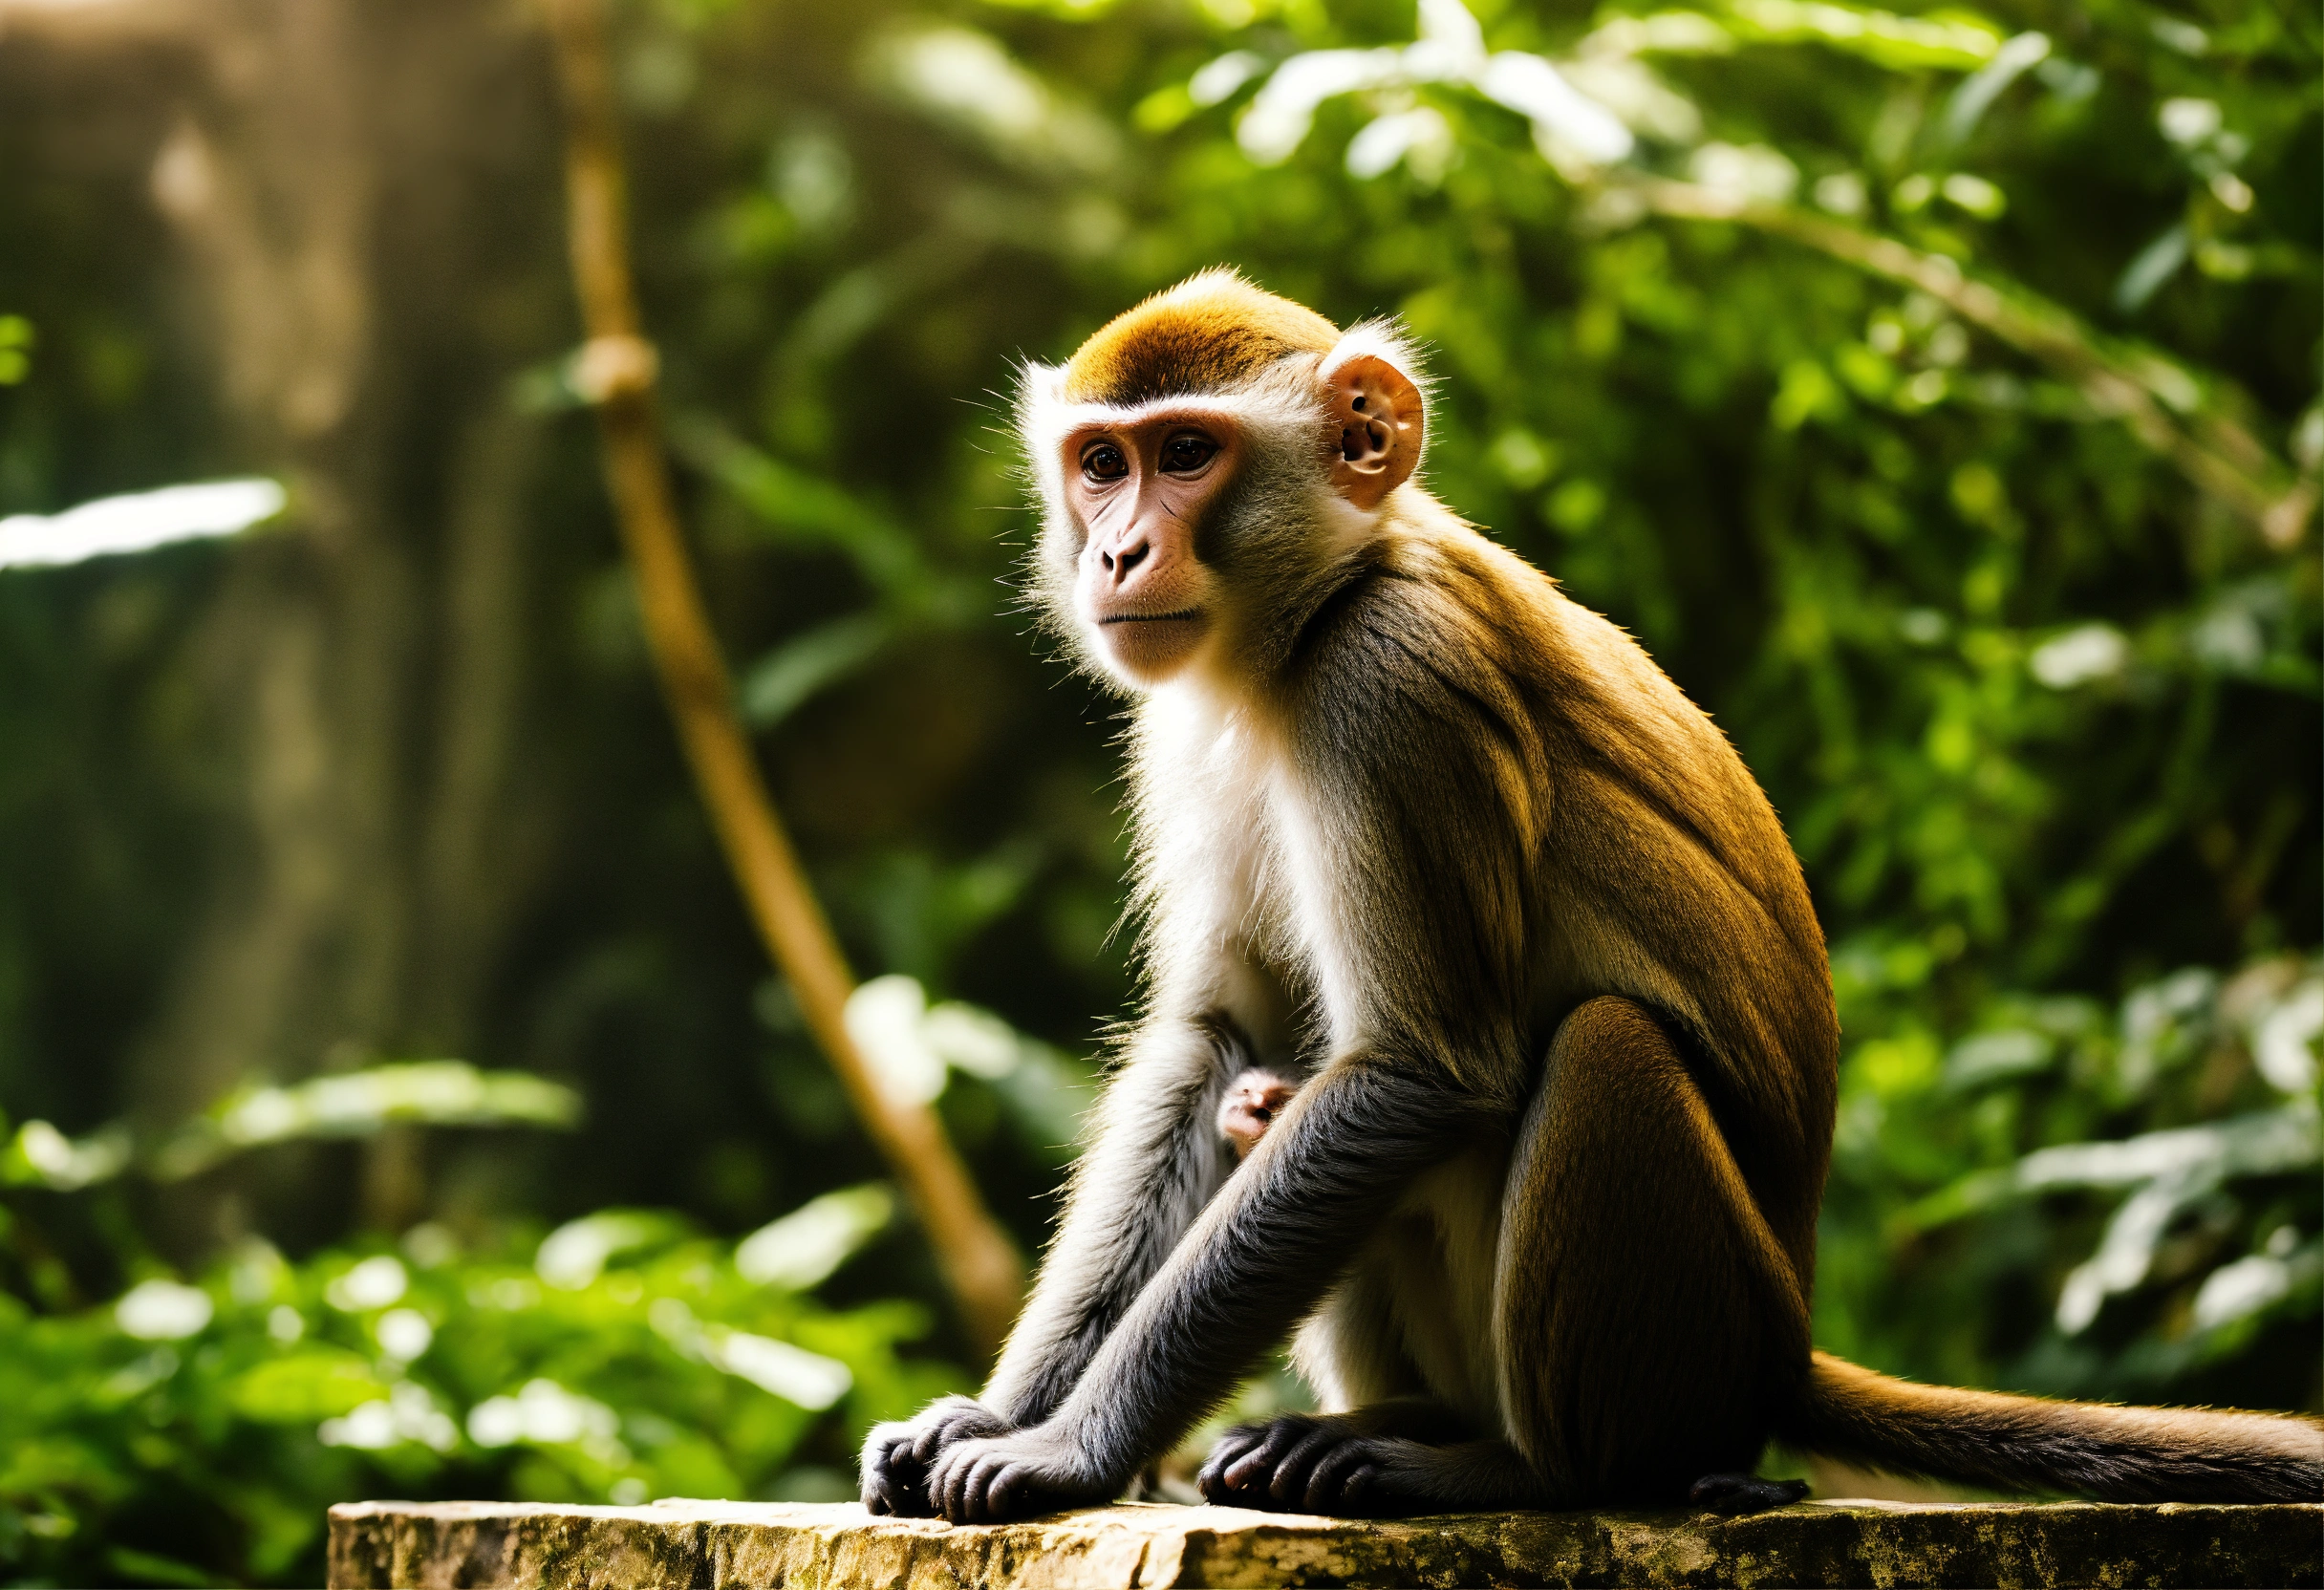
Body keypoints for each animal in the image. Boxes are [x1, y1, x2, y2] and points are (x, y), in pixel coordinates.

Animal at [859, 269, 2324, 1525]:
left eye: (1184, 455)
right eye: (1100, 464)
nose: (1114, 552)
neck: (1312, 615)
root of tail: (1789, 1348)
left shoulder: (1389, 689)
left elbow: (1422, 1071)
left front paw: (1064, 1451)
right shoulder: (1183, 730)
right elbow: (1217, 1038)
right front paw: (988, 1415)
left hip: (1708, 1345)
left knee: (1601, 1052)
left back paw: (1510, 1469)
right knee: (1263, 1100)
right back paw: (1395, 1423)